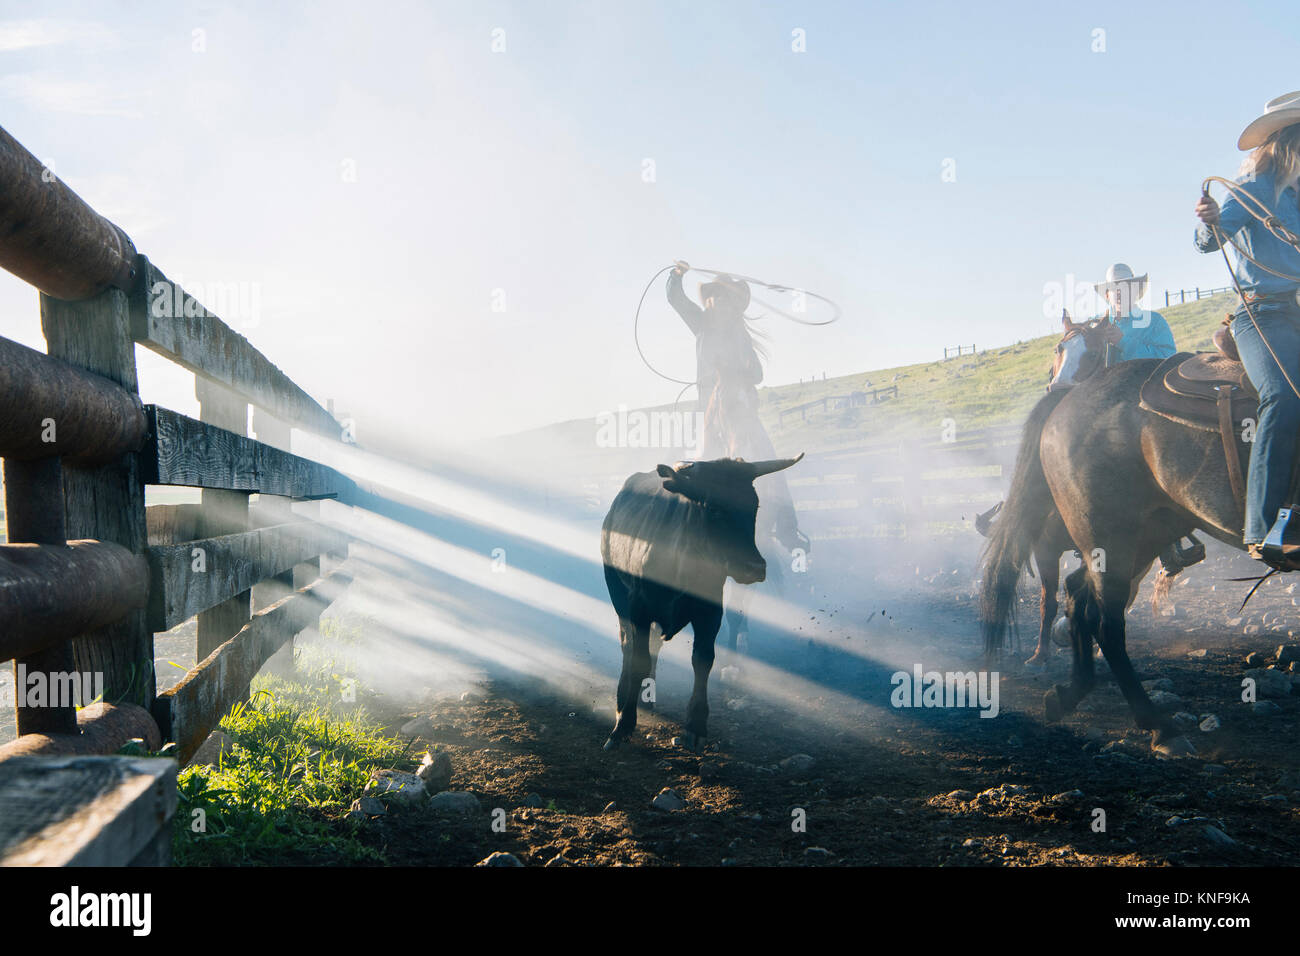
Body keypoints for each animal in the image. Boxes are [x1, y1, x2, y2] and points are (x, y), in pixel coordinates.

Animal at [599, 454, 803, 751]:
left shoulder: (710, 611)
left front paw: (695, 726)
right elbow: (637, 657)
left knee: (654, 645)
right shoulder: (638, 607)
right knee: (628, 643)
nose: (755, 568)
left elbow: (703, 660)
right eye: (714, 508)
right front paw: (624, 723)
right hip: (616, 590)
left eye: (754, 506)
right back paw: (623, 696)